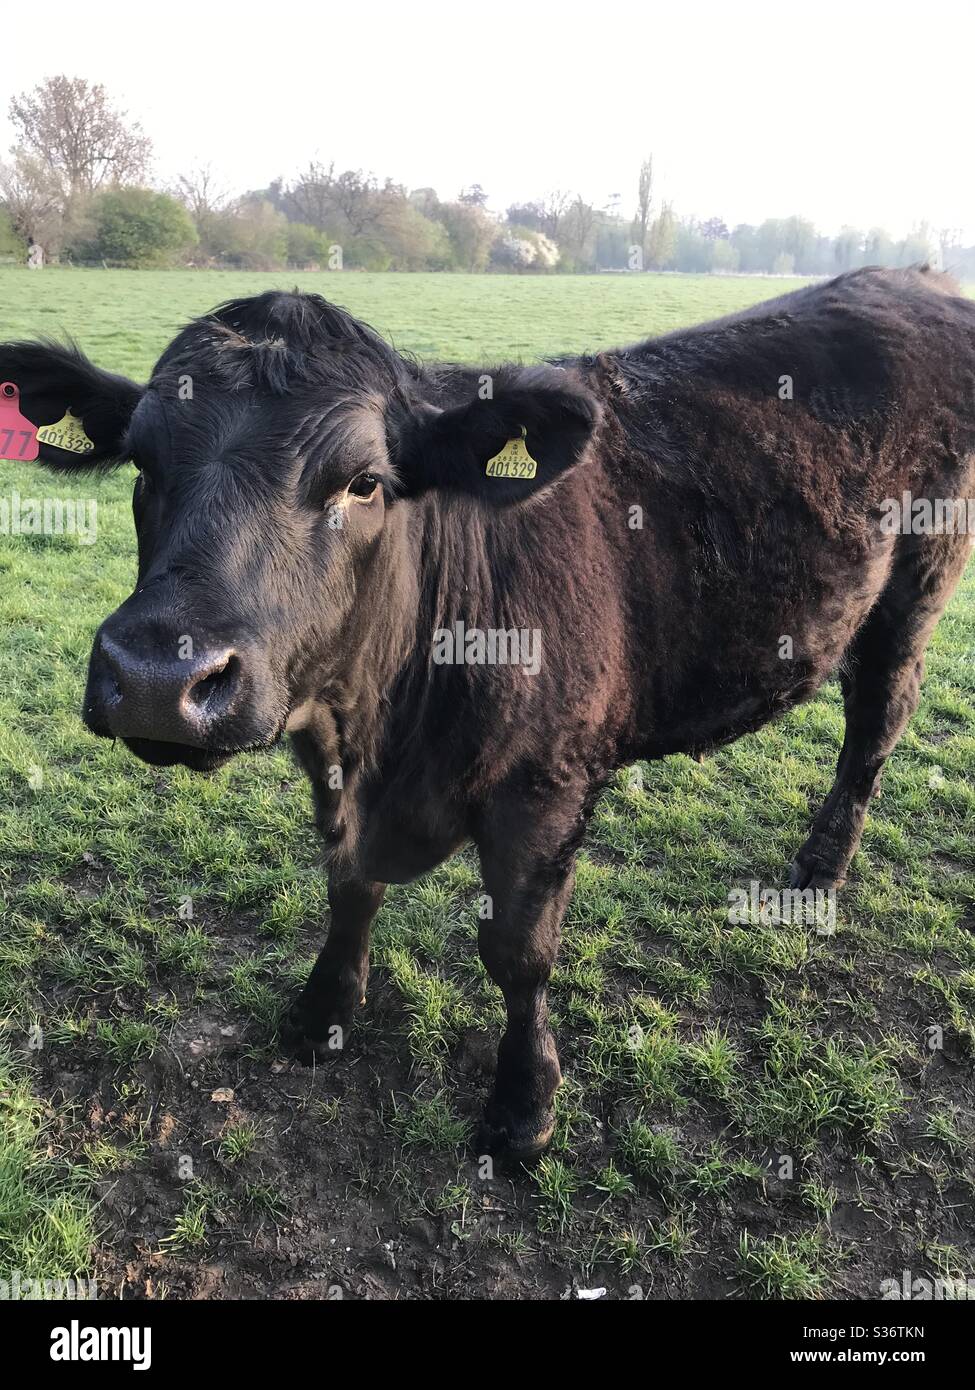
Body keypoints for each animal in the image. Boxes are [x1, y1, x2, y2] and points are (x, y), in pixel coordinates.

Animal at [3, 265, 974, 1158]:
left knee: (877, 719)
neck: (383, 738)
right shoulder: (336, 767)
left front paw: (523, 1104)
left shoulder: (547, 787)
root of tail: (912, 279)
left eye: (363, 482)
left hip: (915, 585)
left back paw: (820, 864)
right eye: (142, 462)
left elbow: (517, 952)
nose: (157, 677)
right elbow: (348, 887)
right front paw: (323, 1010)